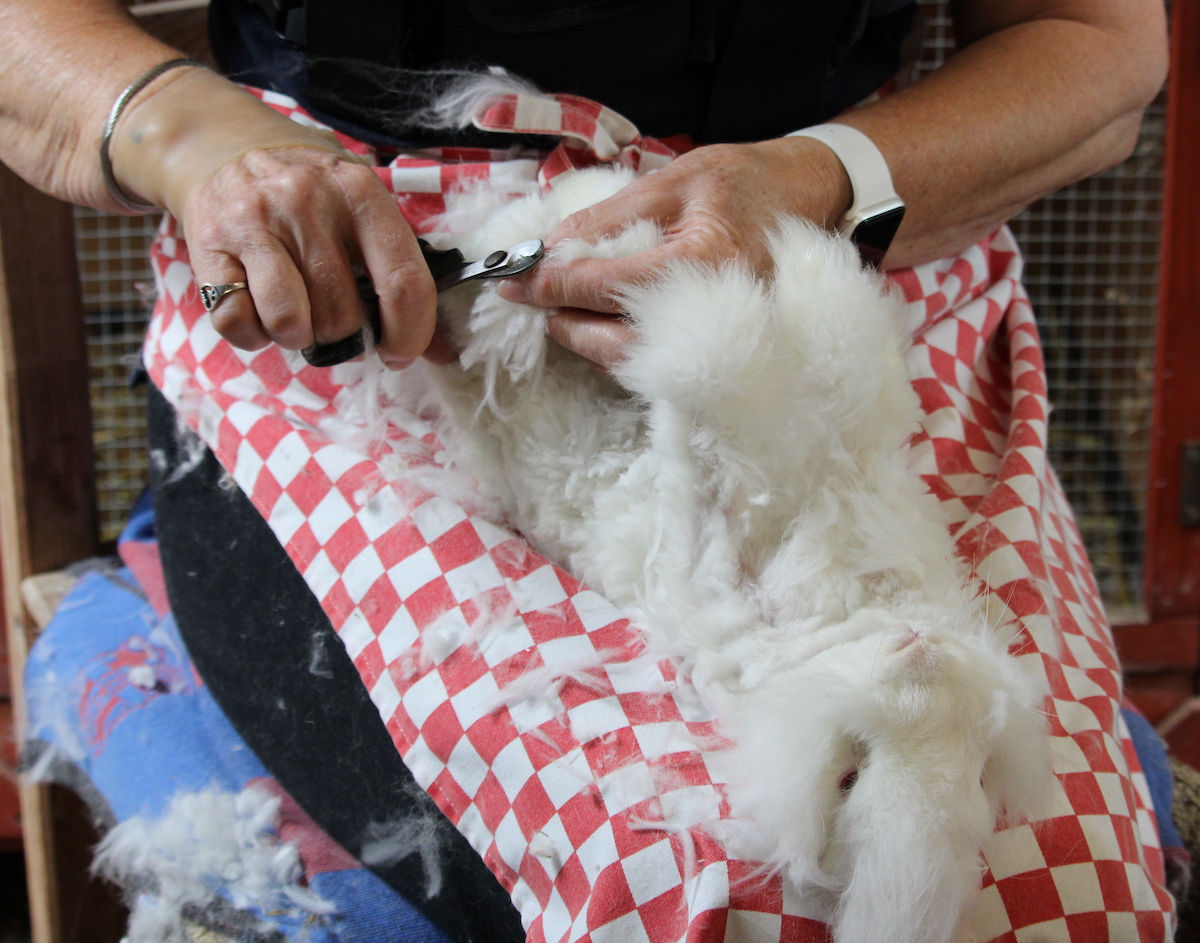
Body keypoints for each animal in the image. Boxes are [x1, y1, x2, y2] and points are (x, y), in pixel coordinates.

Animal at [360, 163, 1054, 943]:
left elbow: (714, 391)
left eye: (853, 781)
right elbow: (835, 360)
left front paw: (698, 307)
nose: (921, 651)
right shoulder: (846, 459)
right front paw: (791, 262)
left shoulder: (707, 543)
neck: (847, 624)